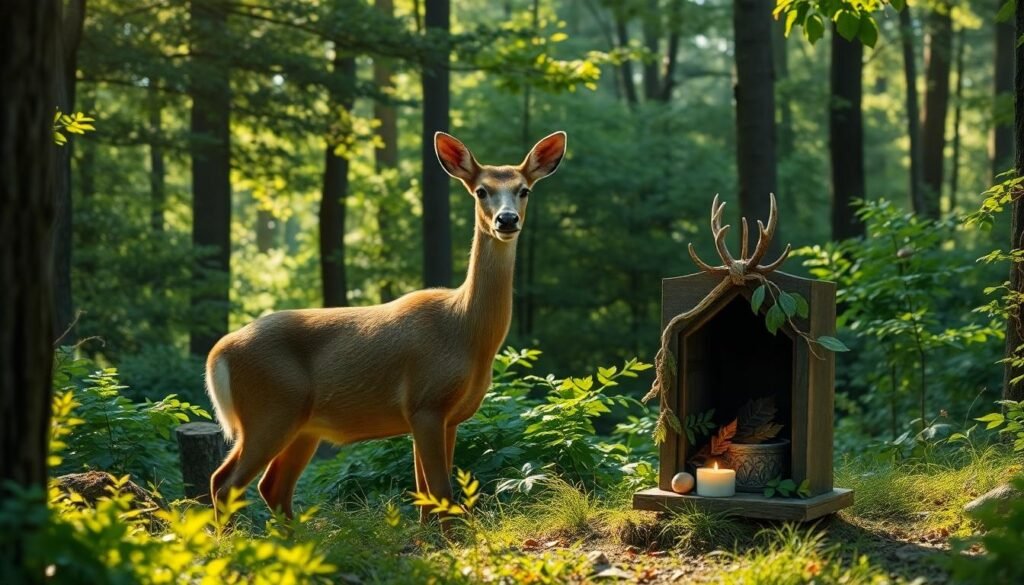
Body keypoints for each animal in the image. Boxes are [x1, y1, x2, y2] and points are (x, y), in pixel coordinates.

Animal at [205, 130, 567, 521]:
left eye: (524, 189)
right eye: (481, 191)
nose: (507, 219)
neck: (465, 330)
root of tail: (217, 354)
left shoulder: (448, 417)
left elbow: (427, 497)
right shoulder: (425, 403)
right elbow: (442, 493)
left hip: (302, 426)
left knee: (270, 487)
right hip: (269, 410)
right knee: (226, 483)